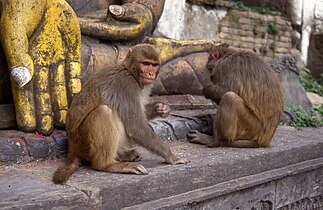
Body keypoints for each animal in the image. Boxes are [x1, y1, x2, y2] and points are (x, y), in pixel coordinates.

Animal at [53, 44, 189, 184]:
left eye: (154, 65)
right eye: (146, 63)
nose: (151, 73)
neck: (130, 71)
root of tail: (72, 147)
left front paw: (161, 108)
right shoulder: (127, 85)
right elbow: (136, 127)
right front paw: (171, 157)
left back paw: (123, 155)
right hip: (83, 142)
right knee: (104, 112)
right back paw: (108, 164)